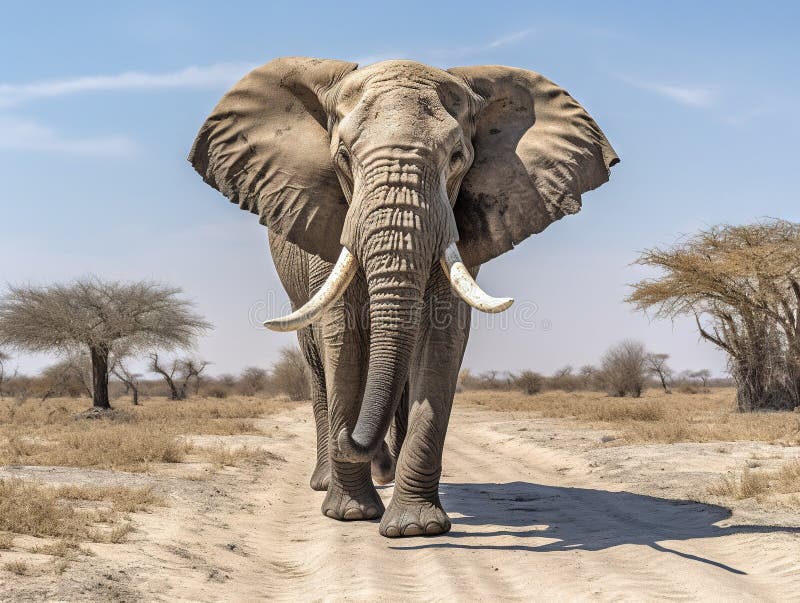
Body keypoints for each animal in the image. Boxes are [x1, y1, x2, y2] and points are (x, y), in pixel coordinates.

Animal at [189, 57, 618, 537]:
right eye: (343, 156)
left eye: (457, 158)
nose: (353, 440)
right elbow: (343, 338)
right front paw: (351, 514)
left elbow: (442, 339)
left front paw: (416, 528)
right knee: (318, 361)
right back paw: (331, 480)